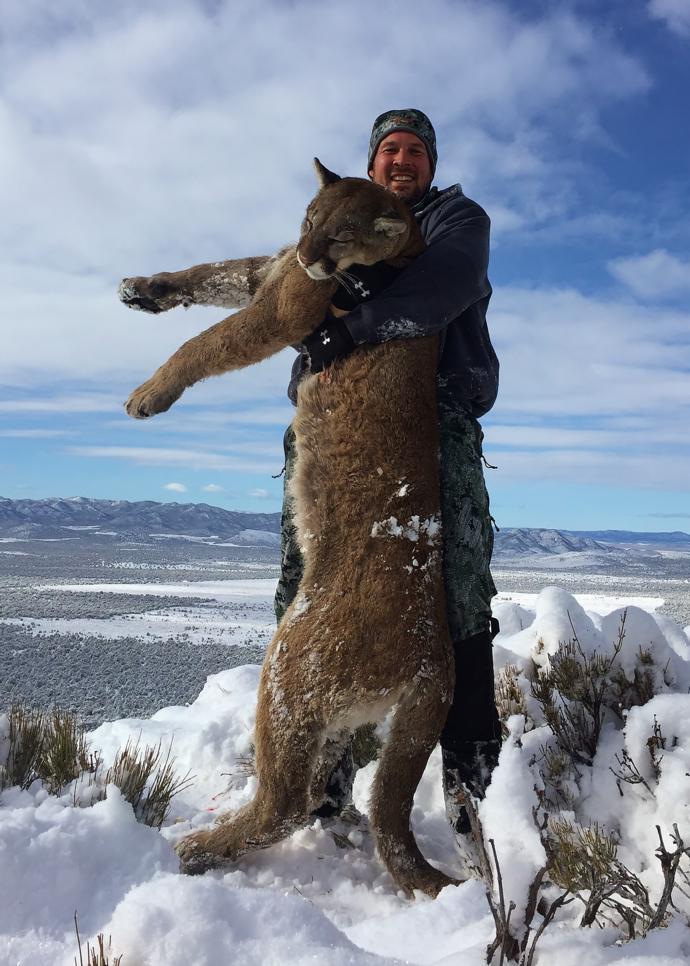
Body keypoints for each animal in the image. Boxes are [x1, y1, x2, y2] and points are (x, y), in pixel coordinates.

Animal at [121, 160, 457, 898]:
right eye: (309, 220)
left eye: (341, 236)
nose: (309, 254)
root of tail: (435, 652)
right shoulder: (268, 272)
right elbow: (211, 271)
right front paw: (147, 289)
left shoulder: (284, 309)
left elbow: (205, 342)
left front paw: (148, 395)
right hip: (332, 713)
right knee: (315, 795)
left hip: (290, 673)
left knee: (284, 801)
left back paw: (192, 850)